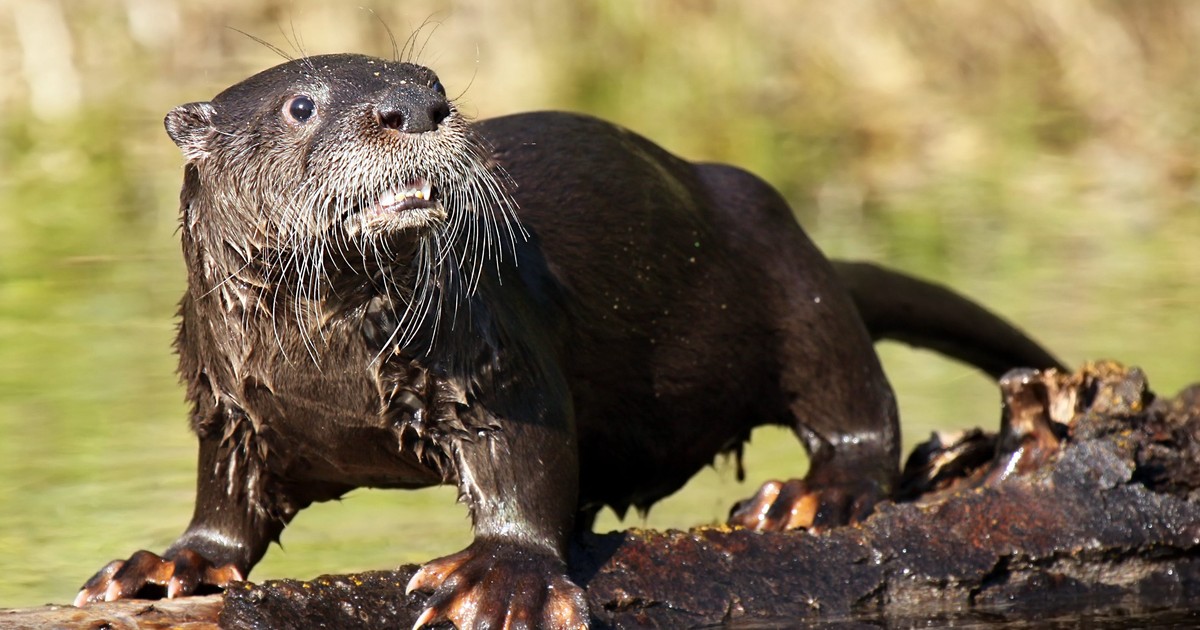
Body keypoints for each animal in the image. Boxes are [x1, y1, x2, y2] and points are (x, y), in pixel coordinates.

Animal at [75, 54, 1062, 628]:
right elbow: (226, 500)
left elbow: (529, 460)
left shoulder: (491, 355)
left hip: (784, 259)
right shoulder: (227, 403)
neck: (322, 372)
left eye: (432, 84)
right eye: (302, 105)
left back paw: (813, 494)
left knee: (855, 397)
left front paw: (499, 576)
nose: (413, 109)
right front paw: (168, 563)